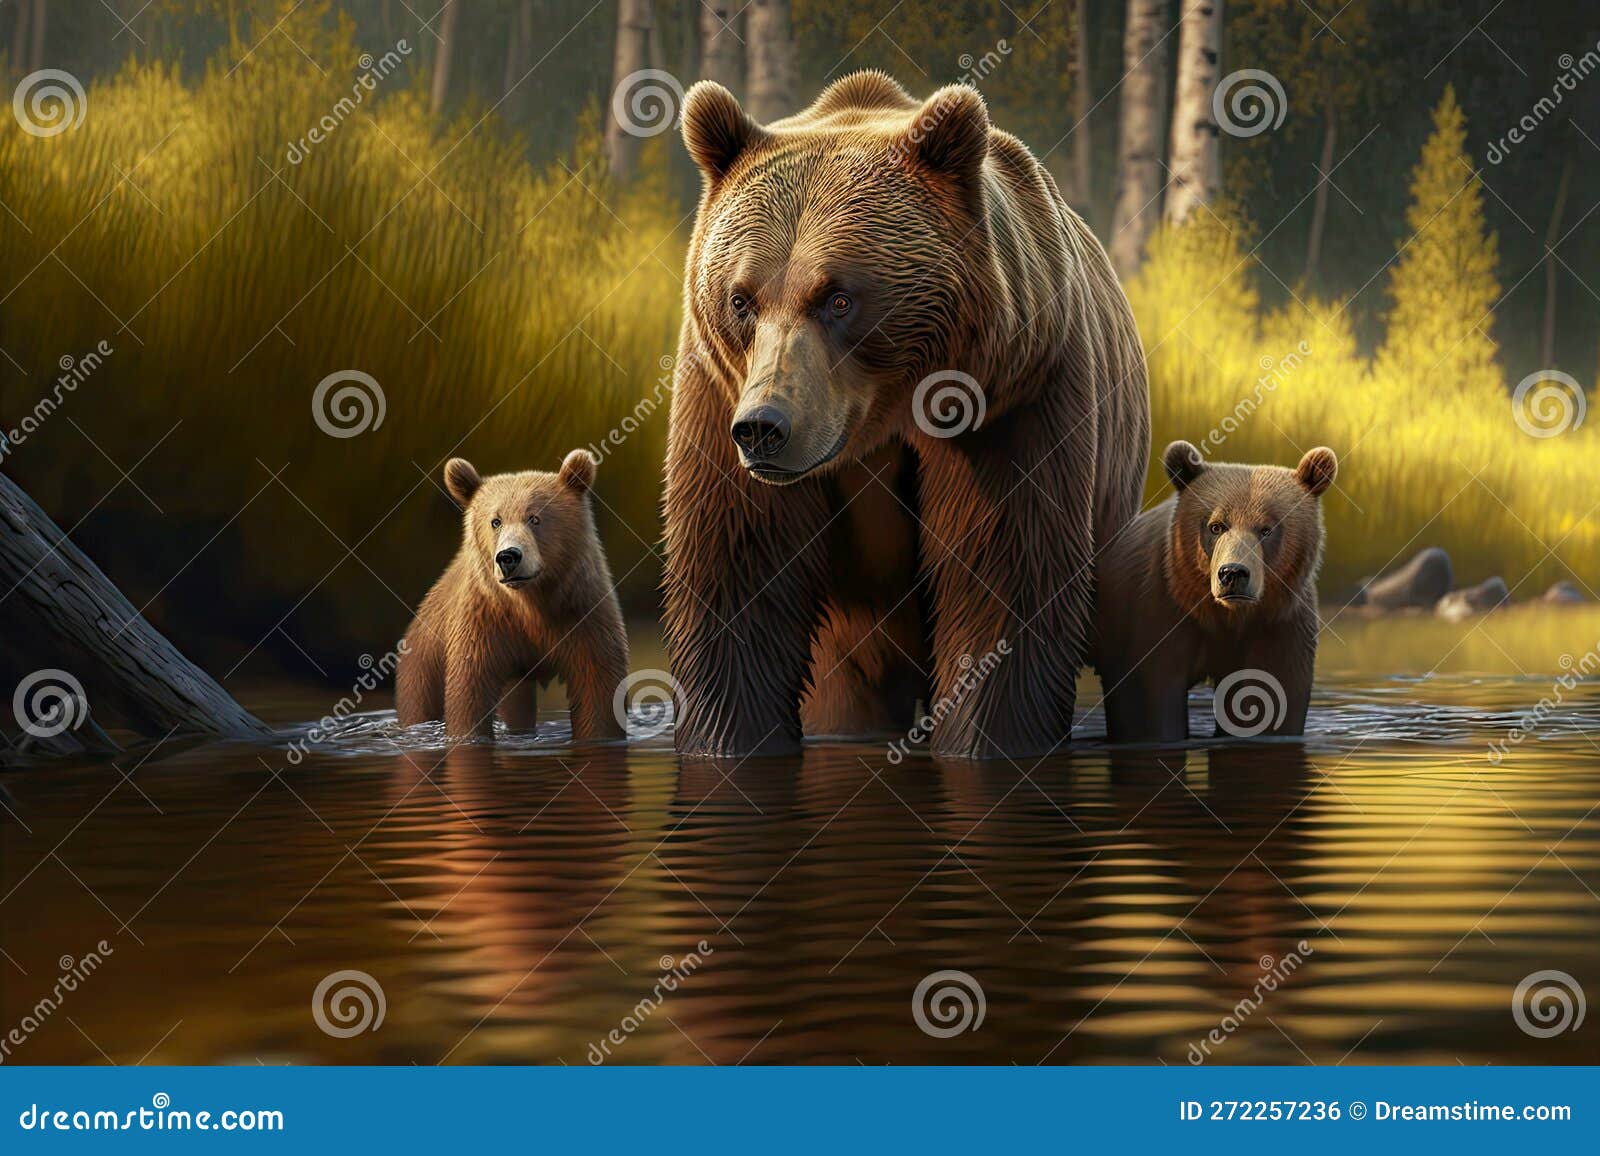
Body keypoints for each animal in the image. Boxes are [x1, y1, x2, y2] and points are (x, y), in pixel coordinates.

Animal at [395, 450, 629, 741]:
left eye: (535, 518)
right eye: (495, 521)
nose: (508, 557)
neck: (531, 604)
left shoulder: (583, 615)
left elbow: (598, 689)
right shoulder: (484, 625)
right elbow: (469, 695)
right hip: (424, 661)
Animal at [660, 70, 1151, 758]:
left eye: (838, 298)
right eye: (741, 299)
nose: (765, 428)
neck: (885, 418)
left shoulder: (1014, 398)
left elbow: (1001, 585)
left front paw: (989, 738)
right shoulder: (716, 394)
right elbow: (736, 576)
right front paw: (730, 741)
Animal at [1091, 440, 1339, 743]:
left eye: (1266, 529)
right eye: (1216, 526)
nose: (1232, 573)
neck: (1224, 616)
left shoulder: (1279, 623)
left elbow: (1271, 694)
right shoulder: (1158, 609)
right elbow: (1150, 697)